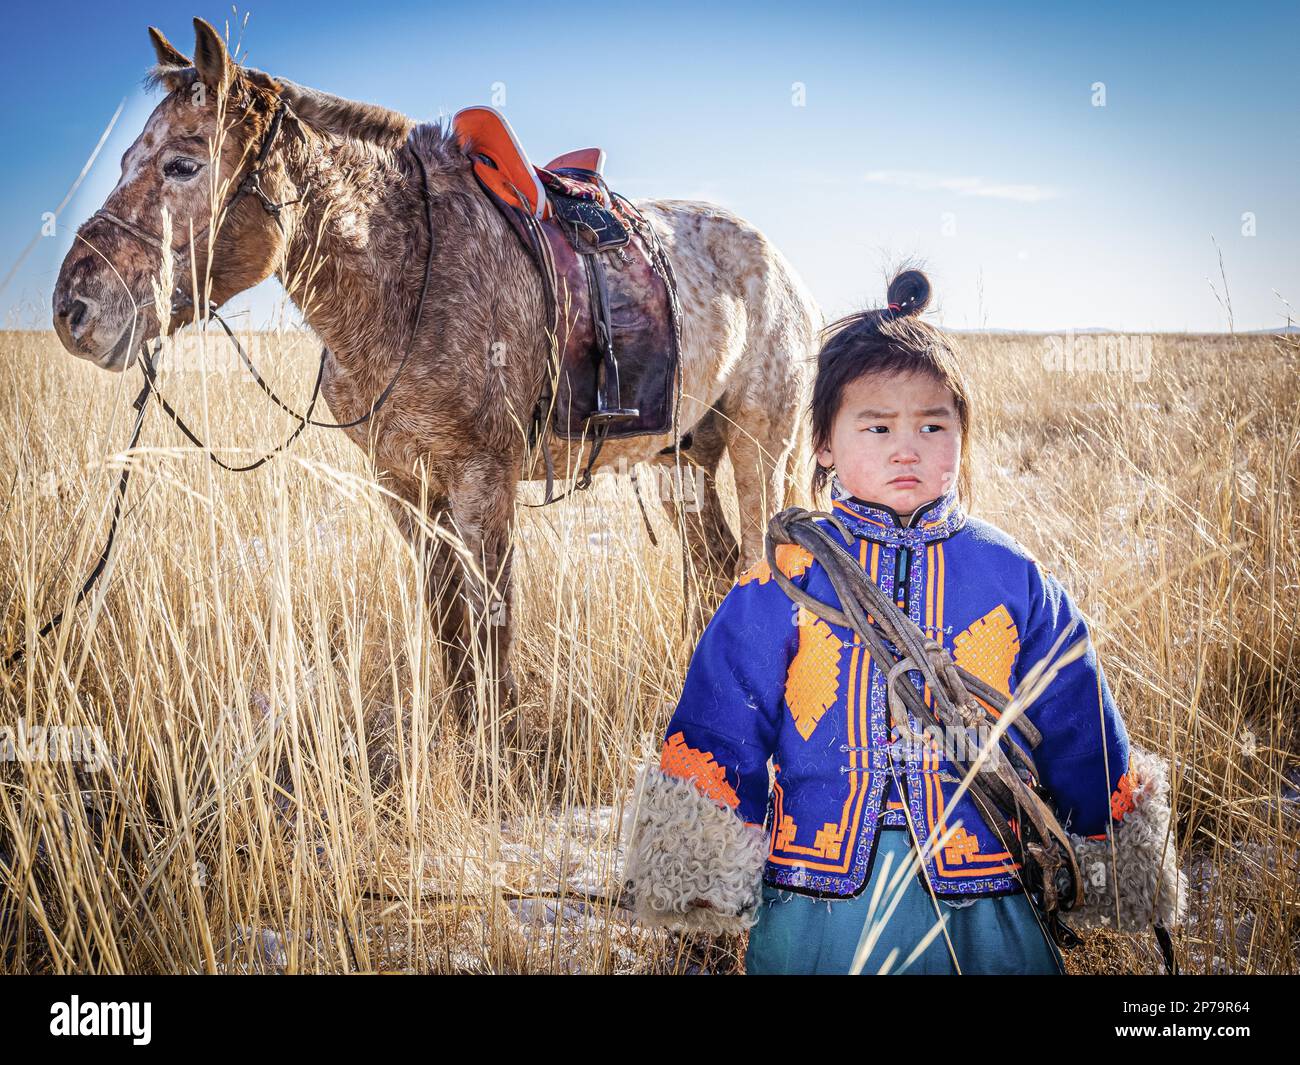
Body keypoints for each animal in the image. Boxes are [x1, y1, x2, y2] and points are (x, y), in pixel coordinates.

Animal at [51, 17, 822, 731]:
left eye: (183, 164)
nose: (73, 309)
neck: (404, 272)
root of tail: (782, 265)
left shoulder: (484, 480)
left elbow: (492, 627)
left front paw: (502, 753)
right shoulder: (404, 485)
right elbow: (450, 629)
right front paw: (468, 738)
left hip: (764, 450)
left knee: (758, 563)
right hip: (680, 460)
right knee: (714, 565)